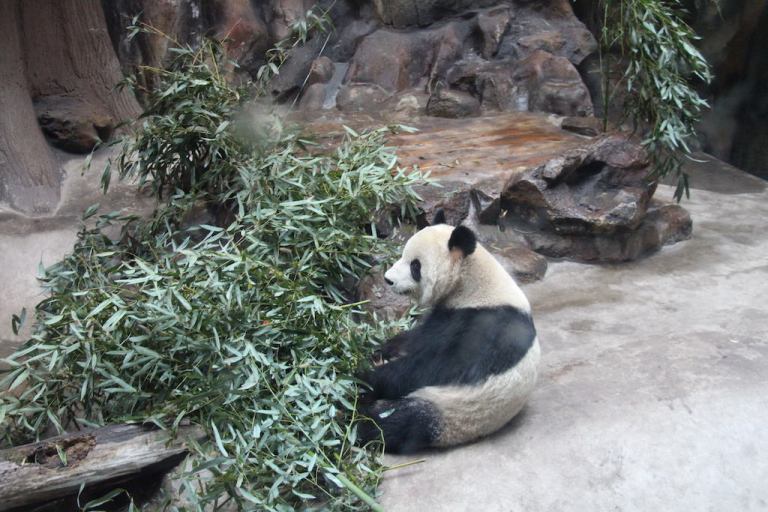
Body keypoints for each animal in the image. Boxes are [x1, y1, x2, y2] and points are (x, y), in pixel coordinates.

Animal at [358, 211, 540, 453]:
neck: (475, 286)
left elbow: (434, 366)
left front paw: (365, 376)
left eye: (415, 266)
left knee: (402, 422)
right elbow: (418, 338)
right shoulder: (445, 313)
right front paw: (382, 350)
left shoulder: (486, 325)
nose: (388, 279)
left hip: (450, 410)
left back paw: (358, 419)